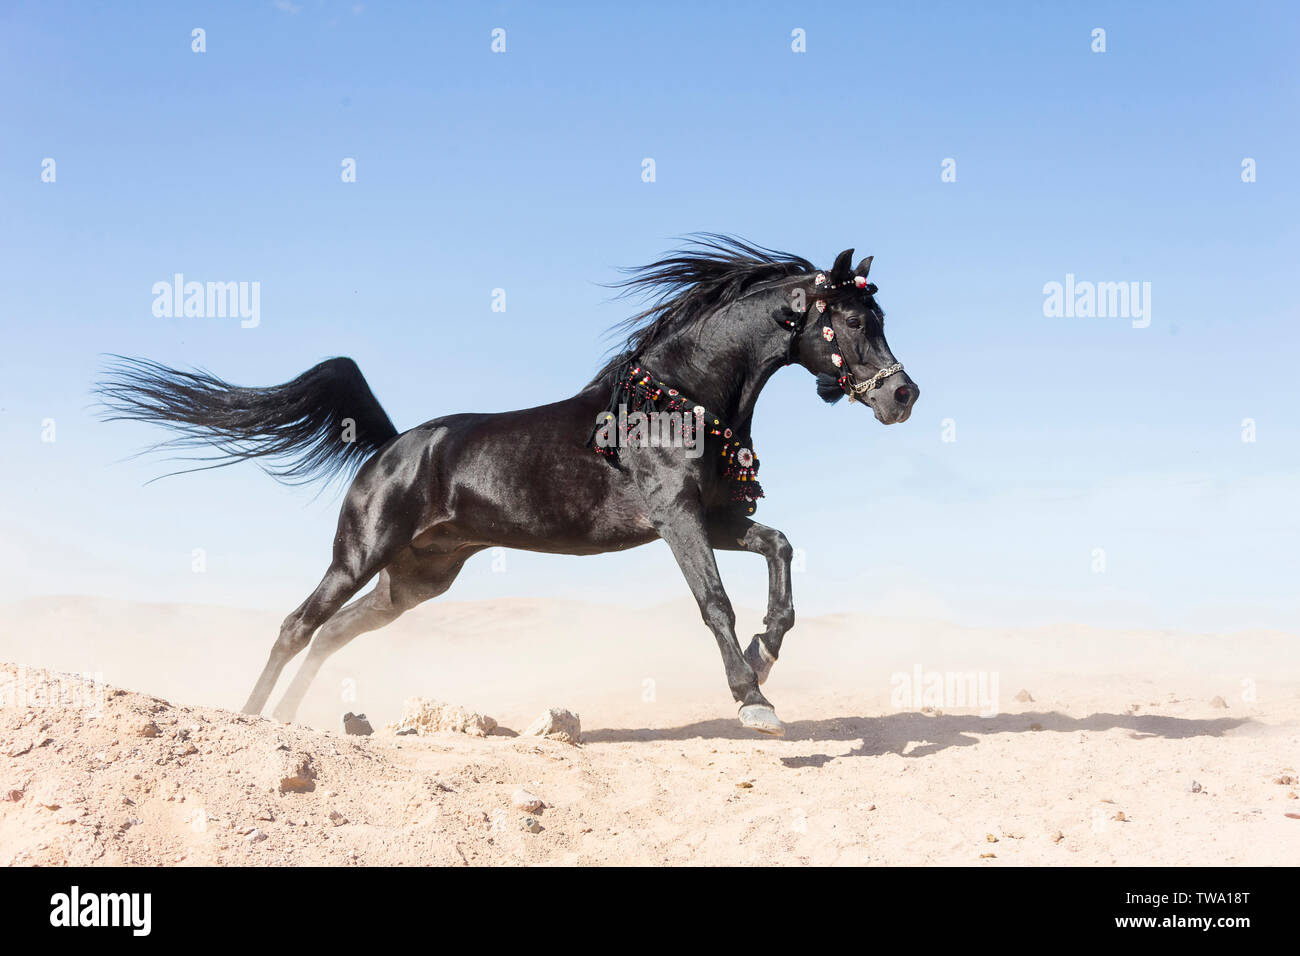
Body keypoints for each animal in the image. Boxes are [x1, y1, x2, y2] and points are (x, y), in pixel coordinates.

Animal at [98, 236, 919, 736]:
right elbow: (713, 601)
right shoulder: (679, 519)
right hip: (359, 554)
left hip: (414, 581)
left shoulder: (713, 518)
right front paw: (753, 699)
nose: (901, 395)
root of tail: (393, 443)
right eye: (850, 321)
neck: (680, 400)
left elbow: (780, 549)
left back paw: (292, 718)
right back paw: (252, 715)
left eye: (875, 314)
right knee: (297, 626)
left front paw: (766, 651)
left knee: (332, 633)